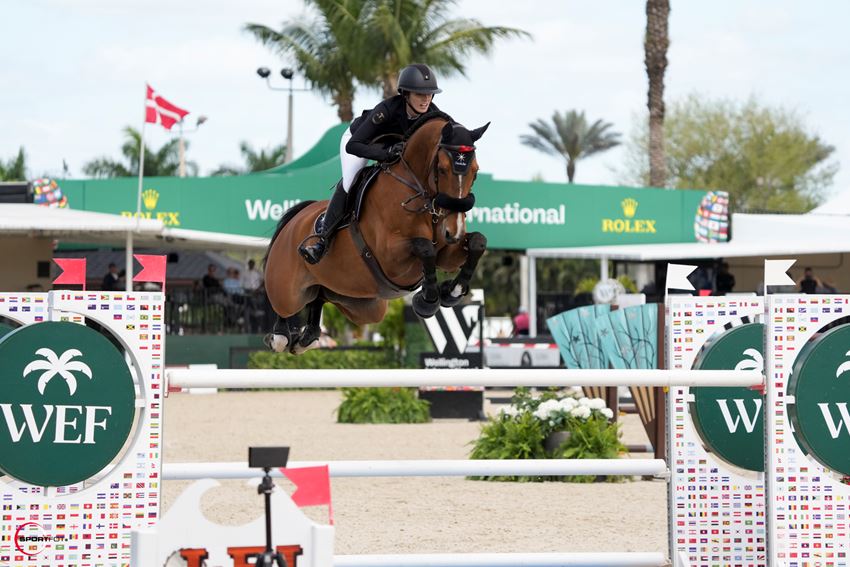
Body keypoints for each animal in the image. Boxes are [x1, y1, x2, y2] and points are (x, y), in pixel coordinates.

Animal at [263, 112, 489, 354]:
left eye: (475, 172)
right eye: (443, 169)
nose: (454, 232)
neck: (416, 190)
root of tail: (294, 220)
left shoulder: (446, 253)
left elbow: (478, 242)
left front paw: (452, 291)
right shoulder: (392, 259)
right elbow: (424, 247)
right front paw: (428, 301)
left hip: (362, 305)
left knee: (320, 295)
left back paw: (308, 337)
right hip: (289, 291)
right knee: (284, 306)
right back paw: (281, 335)